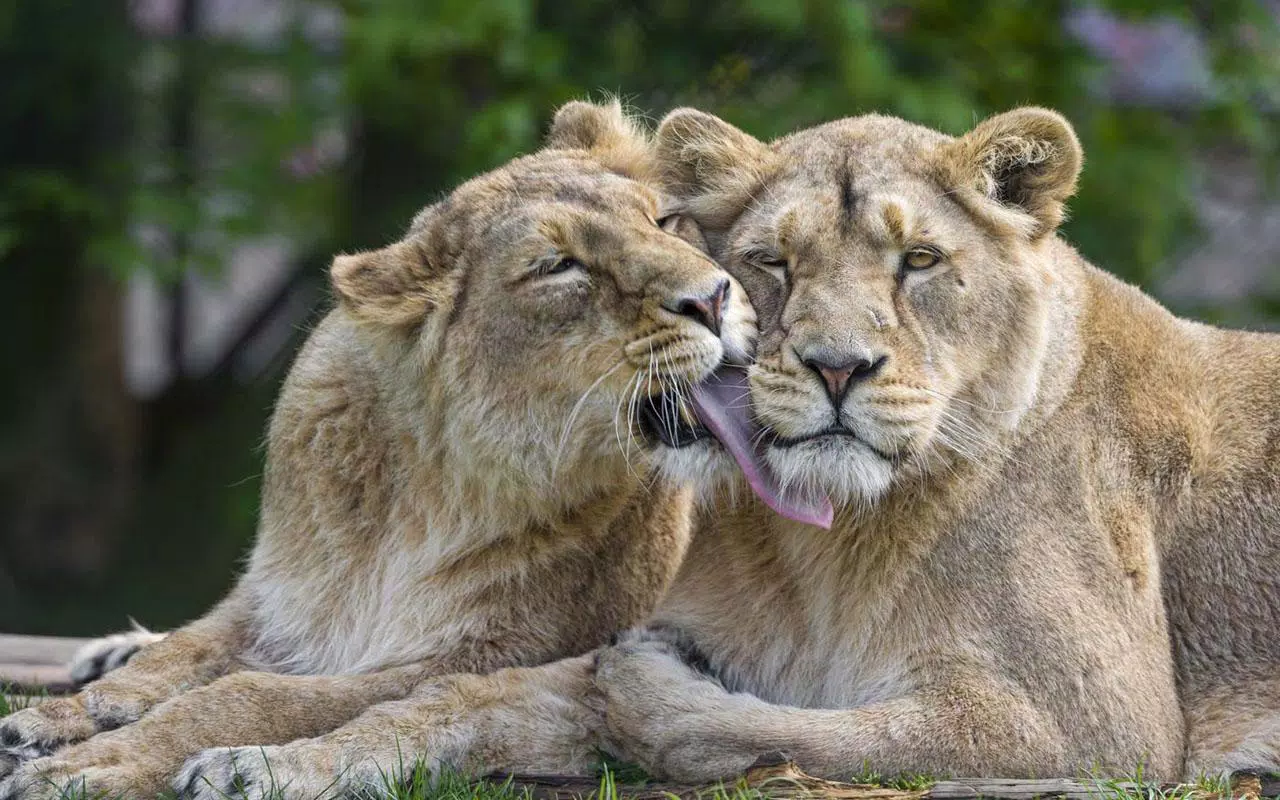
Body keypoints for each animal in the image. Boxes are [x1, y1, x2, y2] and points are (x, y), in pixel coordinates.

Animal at [0, 99, 758, 799]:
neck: (429, 482)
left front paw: (89, 763)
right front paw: (62, 719)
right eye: (557, 266)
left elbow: (251, 695)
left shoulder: (493, 653)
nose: (714, 298)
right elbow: (185, 653)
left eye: (664, 221)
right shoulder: (284, 599)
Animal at [153, 104, 1280, 795]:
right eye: (772, 261)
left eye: (919, 260)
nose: (835, 366)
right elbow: (452, 702)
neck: (834, 546)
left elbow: (836, 729)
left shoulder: (1096, 727)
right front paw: (258, 764)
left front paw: (656, 690)